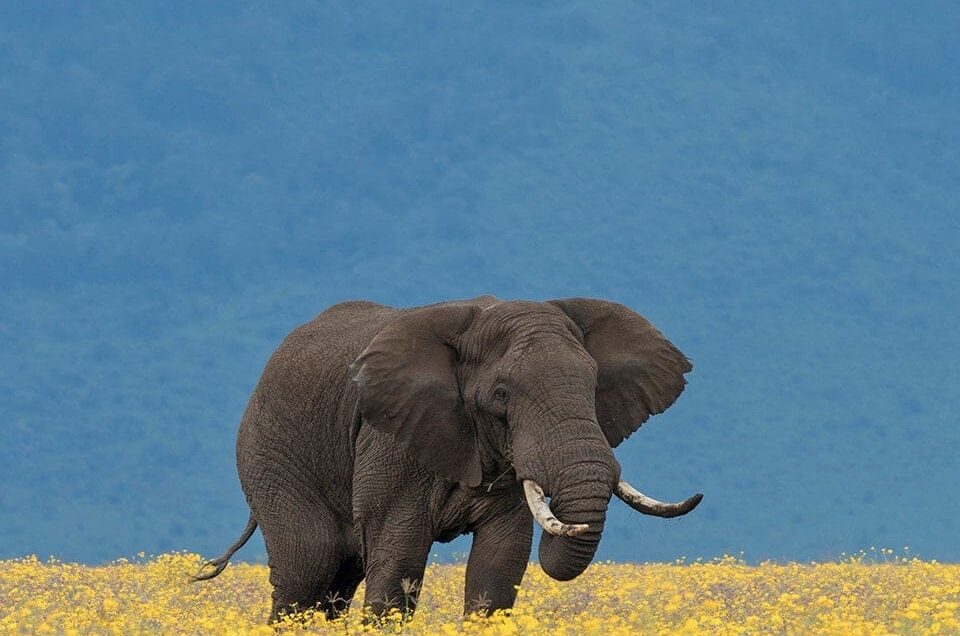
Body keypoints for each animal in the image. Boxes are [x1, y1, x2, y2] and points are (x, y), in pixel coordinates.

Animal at [194, 296, 702, 622]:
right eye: (501, 395)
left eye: (594, 384)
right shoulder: (391, 440)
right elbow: (397, 567)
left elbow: (499, 569)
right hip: (269, 451)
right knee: (308, 565)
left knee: (340, 578)